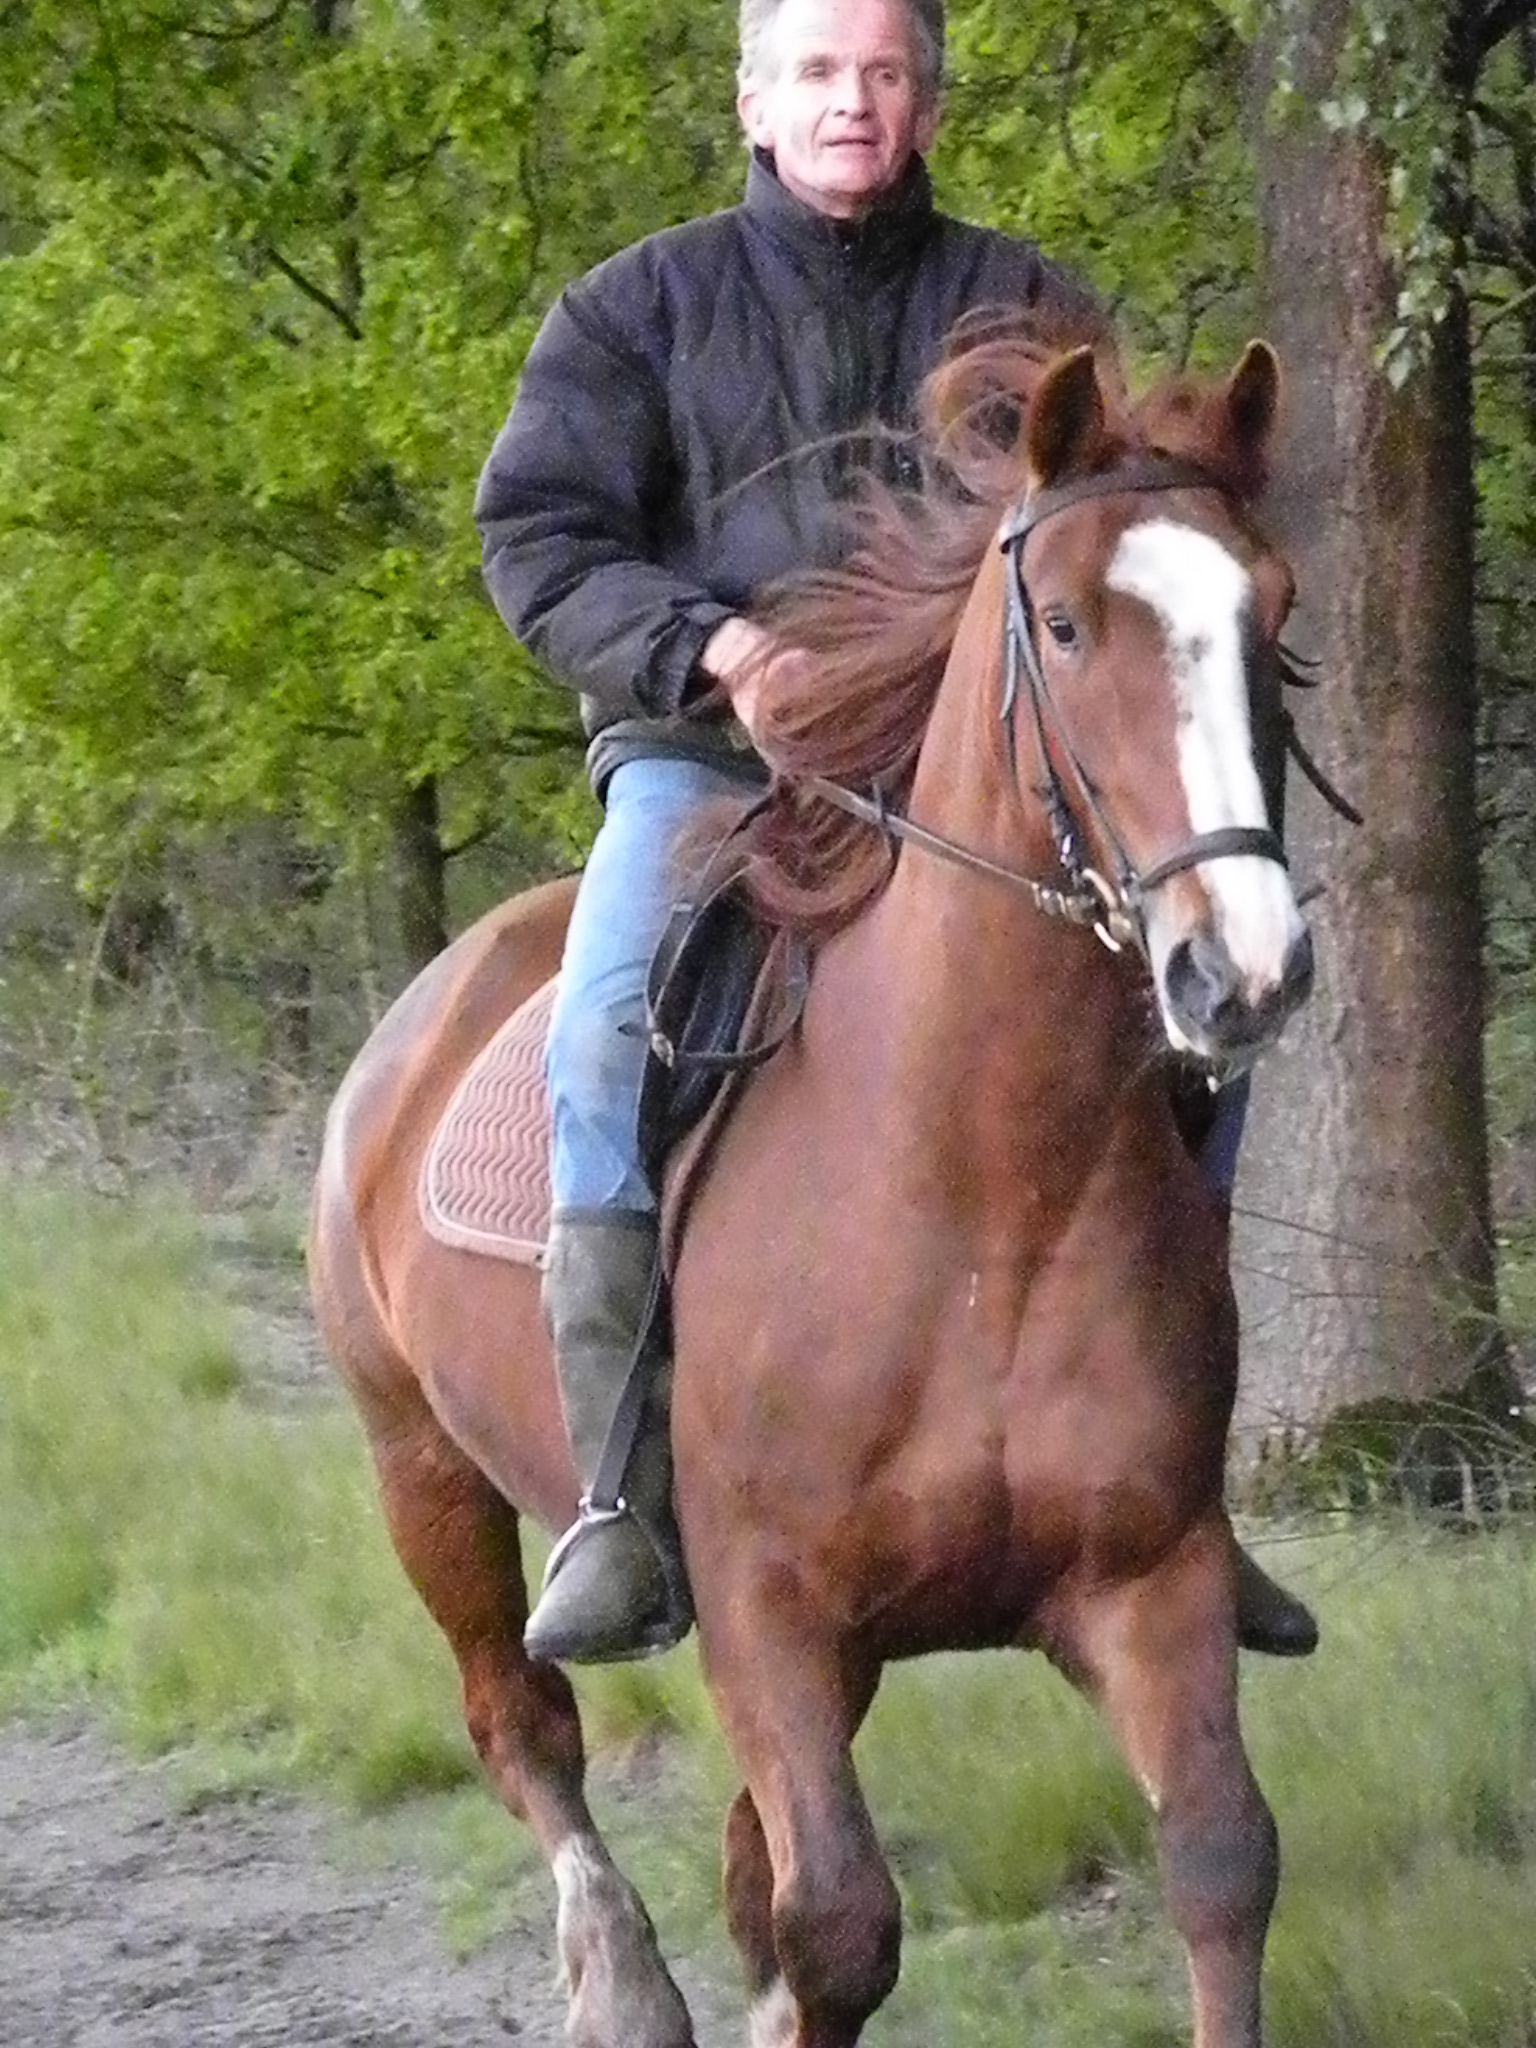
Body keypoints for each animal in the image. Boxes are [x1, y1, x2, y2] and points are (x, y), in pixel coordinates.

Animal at [308, 326, 1315, 2048]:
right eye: (1065, 623)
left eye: (1276, 614)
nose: (1239, 970)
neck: (983, 1195)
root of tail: (421, 1011)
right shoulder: (767, 1606)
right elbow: (840, 1924)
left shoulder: (1150, 1580)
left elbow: (1220, 1865)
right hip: (420, 1473)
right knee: (525, 1730)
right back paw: (620, 1979)